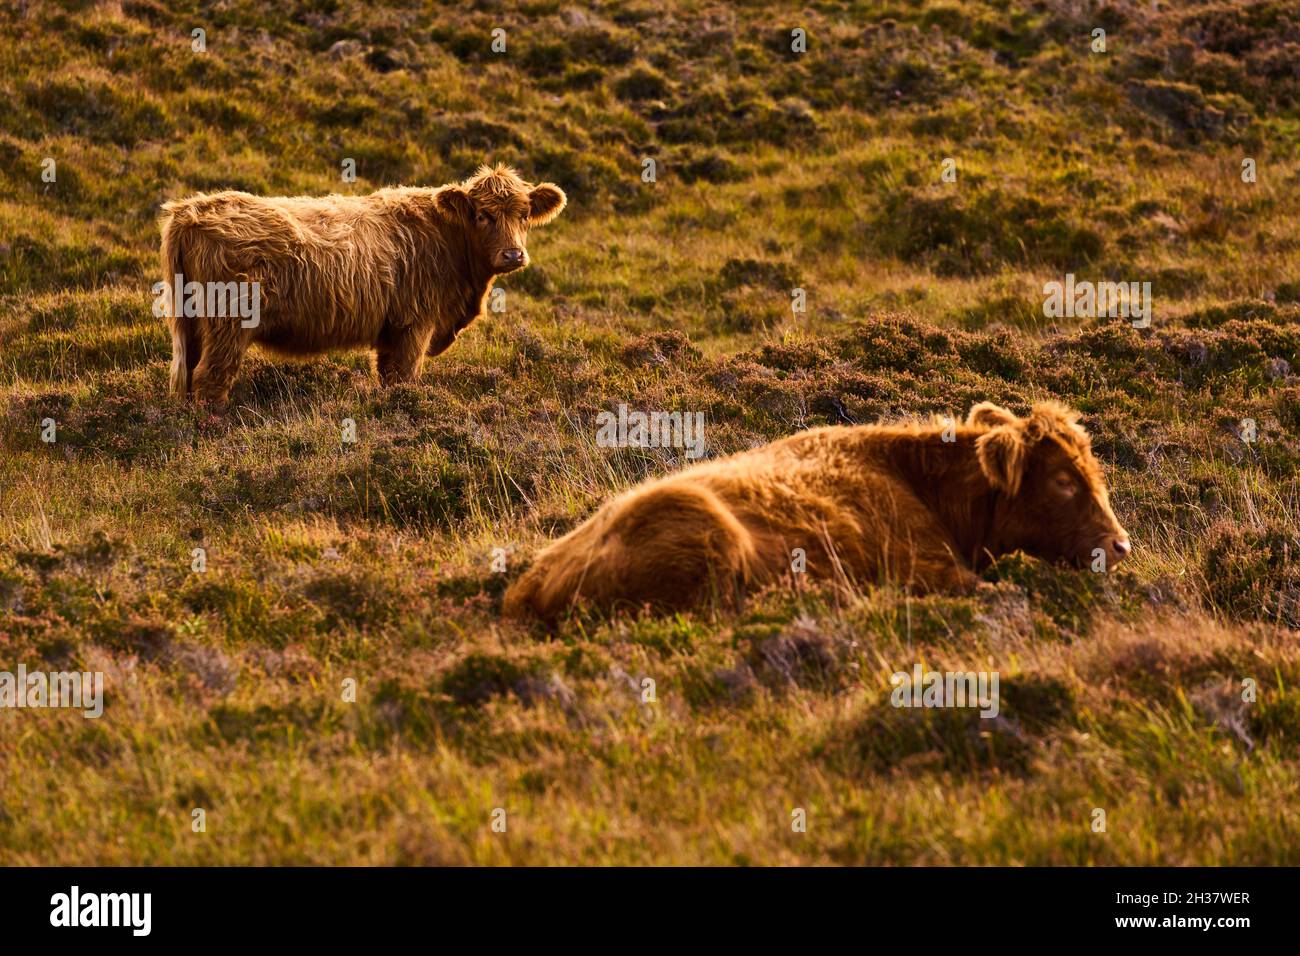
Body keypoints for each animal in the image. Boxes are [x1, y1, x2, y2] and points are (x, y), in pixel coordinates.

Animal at [158, 164, 567, 405]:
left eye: (525, 214)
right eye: (483, 215)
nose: (513, 255)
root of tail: (190, 210)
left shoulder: (393, 332)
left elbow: (388, 377)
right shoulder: (413, 326)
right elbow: (403, 379)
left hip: (191, 325)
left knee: (188, 376)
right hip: (228, 324)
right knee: (211, 378)